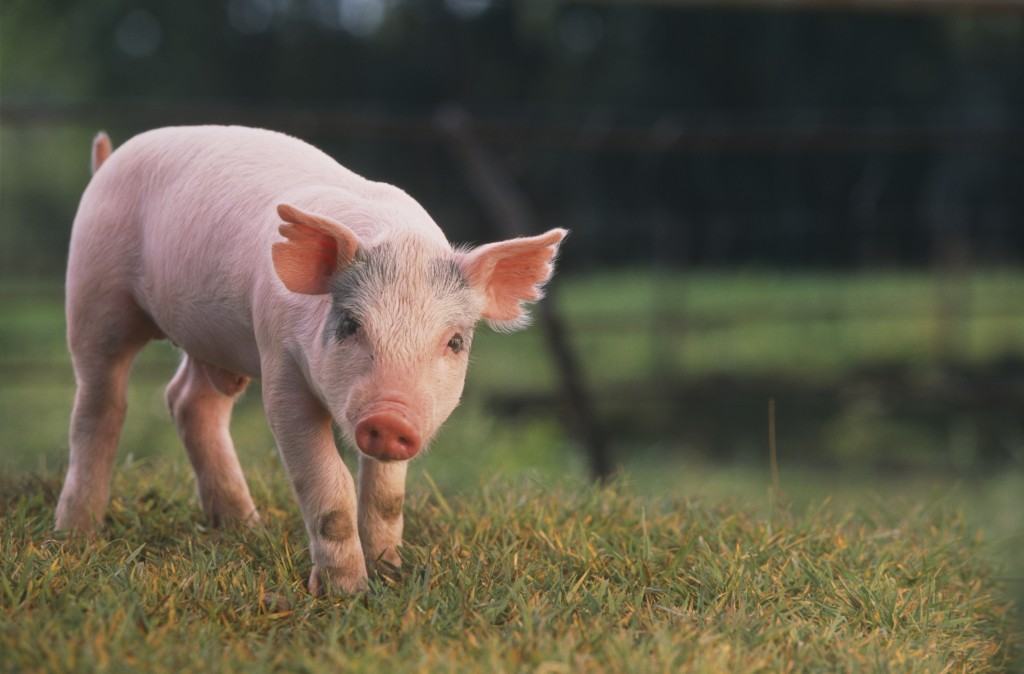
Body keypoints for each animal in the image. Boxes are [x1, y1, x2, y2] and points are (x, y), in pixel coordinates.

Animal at [55, 125, 566, 594]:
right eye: (351, 325)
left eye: (455, 342)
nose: (390, 418)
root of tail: (109, 159)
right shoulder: (278, 360)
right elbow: (327, 478)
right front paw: (346, 594)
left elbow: (387, 493)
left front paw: (389, 572)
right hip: (93, 288)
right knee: (99, 403)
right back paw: (76, 536)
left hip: (213, 340)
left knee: (188, 401)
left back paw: (245, 526)